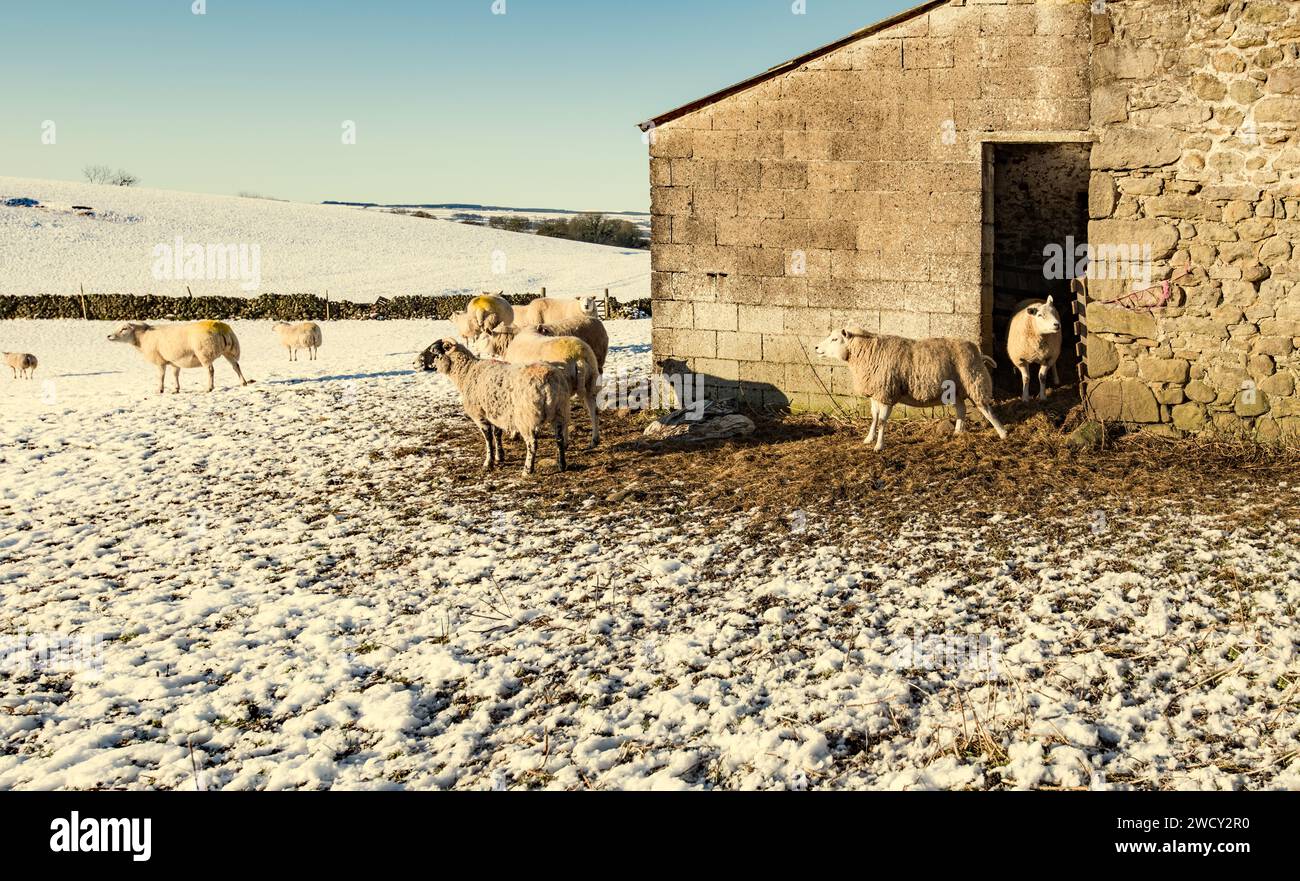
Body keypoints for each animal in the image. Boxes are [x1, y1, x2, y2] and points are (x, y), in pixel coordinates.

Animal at [107, 320, 251, 394]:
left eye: (124, 329)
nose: (109, 336)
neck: (142, 338)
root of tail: (221, 327)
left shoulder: (160, 361)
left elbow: (161, 376)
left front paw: (160, 389)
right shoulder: (175, 361)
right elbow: (175, 374)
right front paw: (176, 389)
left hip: (204, 353)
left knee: (210, 370)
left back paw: (209, 387)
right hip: (228, 351)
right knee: (236, 366)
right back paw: (243, 382)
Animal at [415, 338, 571, 474]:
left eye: (433, 350)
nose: (415, 363)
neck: (466, 372)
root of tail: (548, 380)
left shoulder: (480, 415)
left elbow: (488, 438)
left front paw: (488, 462)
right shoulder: (495, 412)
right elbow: (497, 434)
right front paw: (499, 456)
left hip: (527, 417)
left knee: (532, 444)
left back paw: (527, 470)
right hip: (560, 411)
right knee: (559, 439)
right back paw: (561, 465)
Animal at [471, 328, 602, 448]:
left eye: (482, 337)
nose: (475, 350)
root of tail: (579, 357)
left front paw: (514, 434)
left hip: (564, 389)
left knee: (565, 417)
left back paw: (564, 442)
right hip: (591, 381)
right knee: (594, 411)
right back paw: (594, 440)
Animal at [814, 326, 1008, 451]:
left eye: (835, 339)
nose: (816, 347)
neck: (867, 352)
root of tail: (978, 352)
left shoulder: (887, 393)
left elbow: (882, 421)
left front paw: (879, 446)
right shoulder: (877, 393)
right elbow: (874, 418)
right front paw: (868, 439)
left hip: (974, 381)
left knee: (985, 408)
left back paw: (1002, 433)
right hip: (956, 390)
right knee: (961, 410)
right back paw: (957, 433)